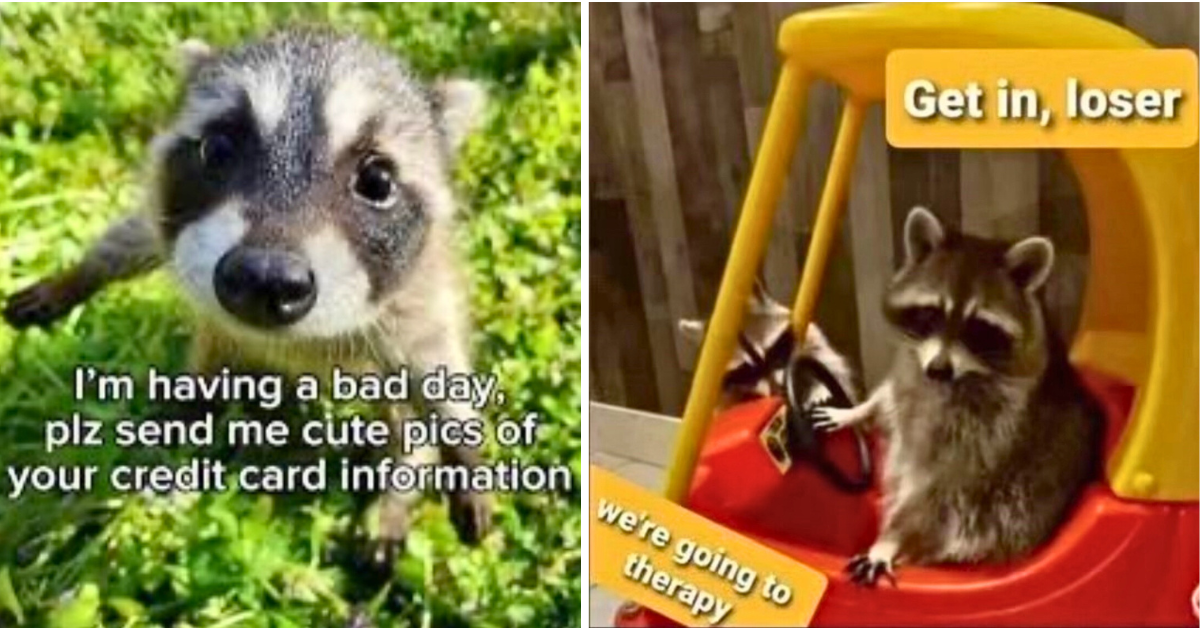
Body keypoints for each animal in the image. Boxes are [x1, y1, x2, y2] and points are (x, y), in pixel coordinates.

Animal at [3, 30, 492, 551]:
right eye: (217, 149)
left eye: (377, 180)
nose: (265, 277)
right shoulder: (167, 220)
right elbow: (132, 239)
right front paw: (76, 276)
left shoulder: (417, 294)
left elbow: (435, 365)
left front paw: (461, 453)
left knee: (402, 420)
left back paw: (397, 485)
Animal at [814, 206, 1100, 586]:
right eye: (930, 312)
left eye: (978, 327)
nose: (938, 370)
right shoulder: (912, 365)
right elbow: (891, 395)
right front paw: (857, 411)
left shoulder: (990, 429)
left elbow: (938, 487)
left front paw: (888, 541)